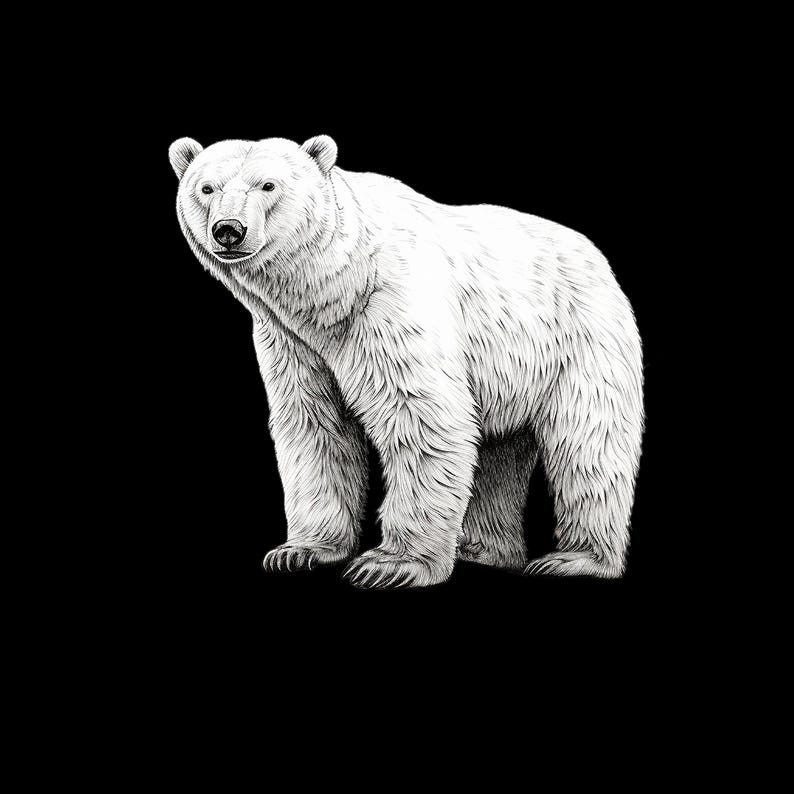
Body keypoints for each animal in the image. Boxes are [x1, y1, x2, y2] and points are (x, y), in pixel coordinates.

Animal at [169, 134, 644, 588]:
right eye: (206, 187)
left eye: (268, 185)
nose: (229, 230)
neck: (334, 291)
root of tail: (595, 255)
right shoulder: (291, 342)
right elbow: (315, 426)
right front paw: (300, 550)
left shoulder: (392, 306)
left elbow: (421, 416)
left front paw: (389, 564)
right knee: (497, 450)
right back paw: (482, 549)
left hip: (579, 339)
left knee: (588, 441)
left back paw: (575, 558)